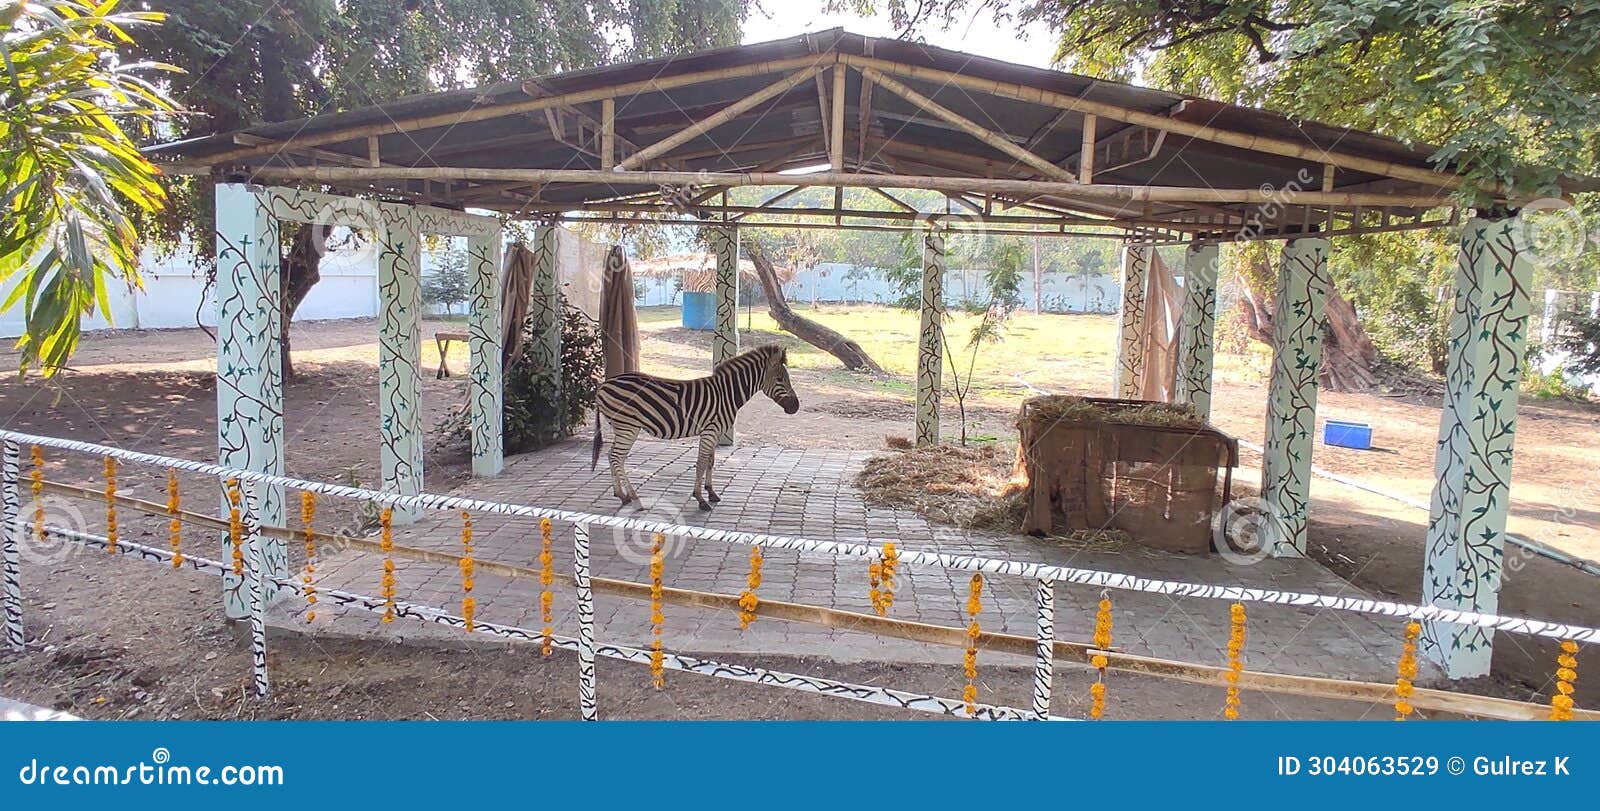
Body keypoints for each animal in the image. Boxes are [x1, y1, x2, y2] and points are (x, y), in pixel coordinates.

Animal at [591, 344, 800, 510]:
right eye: (780, 379)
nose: (796, 407)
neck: (727, 394)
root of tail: (602, 385)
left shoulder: (714, 432)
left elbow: (710, 462)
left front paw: (711, 493)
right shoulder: (709, 431)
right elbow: (701, 463)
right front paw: (700, 499)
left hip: (622, 427)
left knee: (611, 456)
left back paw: (622, 495)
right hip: (628, 426)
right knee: (617, 457)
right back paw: (634, 498)